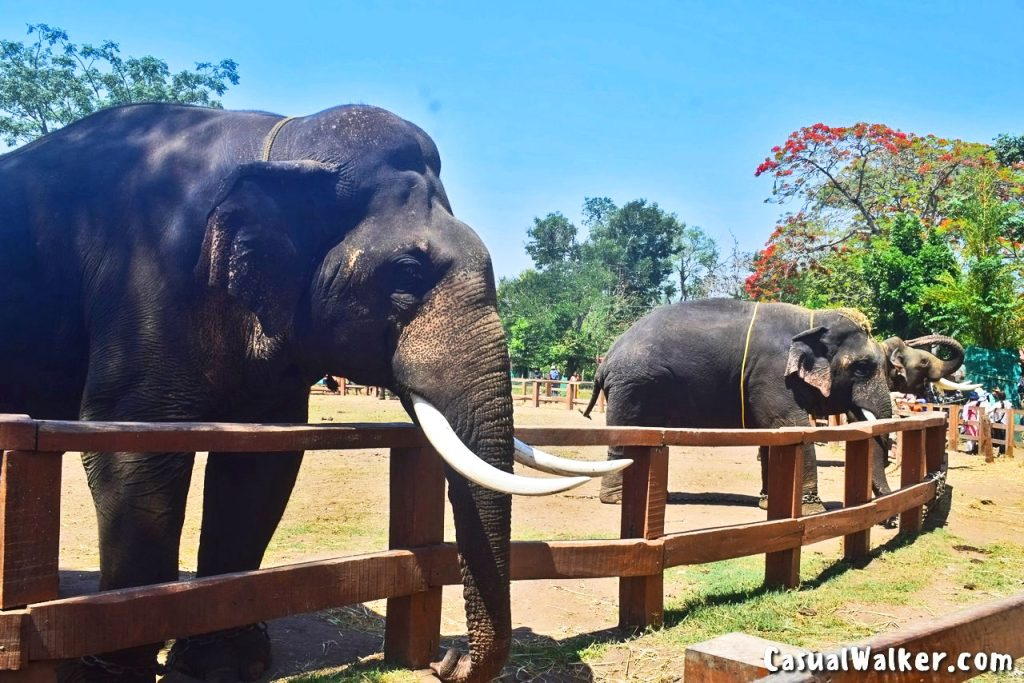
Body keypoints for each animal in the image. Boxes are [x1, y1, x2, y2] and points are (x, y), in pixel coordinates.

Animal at [0, 103, 624, 682]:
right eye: (406, 272)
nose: (446, 658)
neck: (282, 143)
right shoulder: (148, 284)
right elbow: (133, 450)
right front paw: (110, 669)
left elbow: (262, 463)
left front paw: (223, 666)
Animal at [584, 299, 910, 513]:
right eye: (862, 367)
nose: (889, 520)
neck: (811, 320)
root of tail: (606, 358)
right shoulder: (772, 373)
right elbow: (792, 427)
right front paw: (812, 513)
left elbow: (773, 434)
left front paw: (768, 504)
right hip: (633, 387)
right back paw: (617, 500)